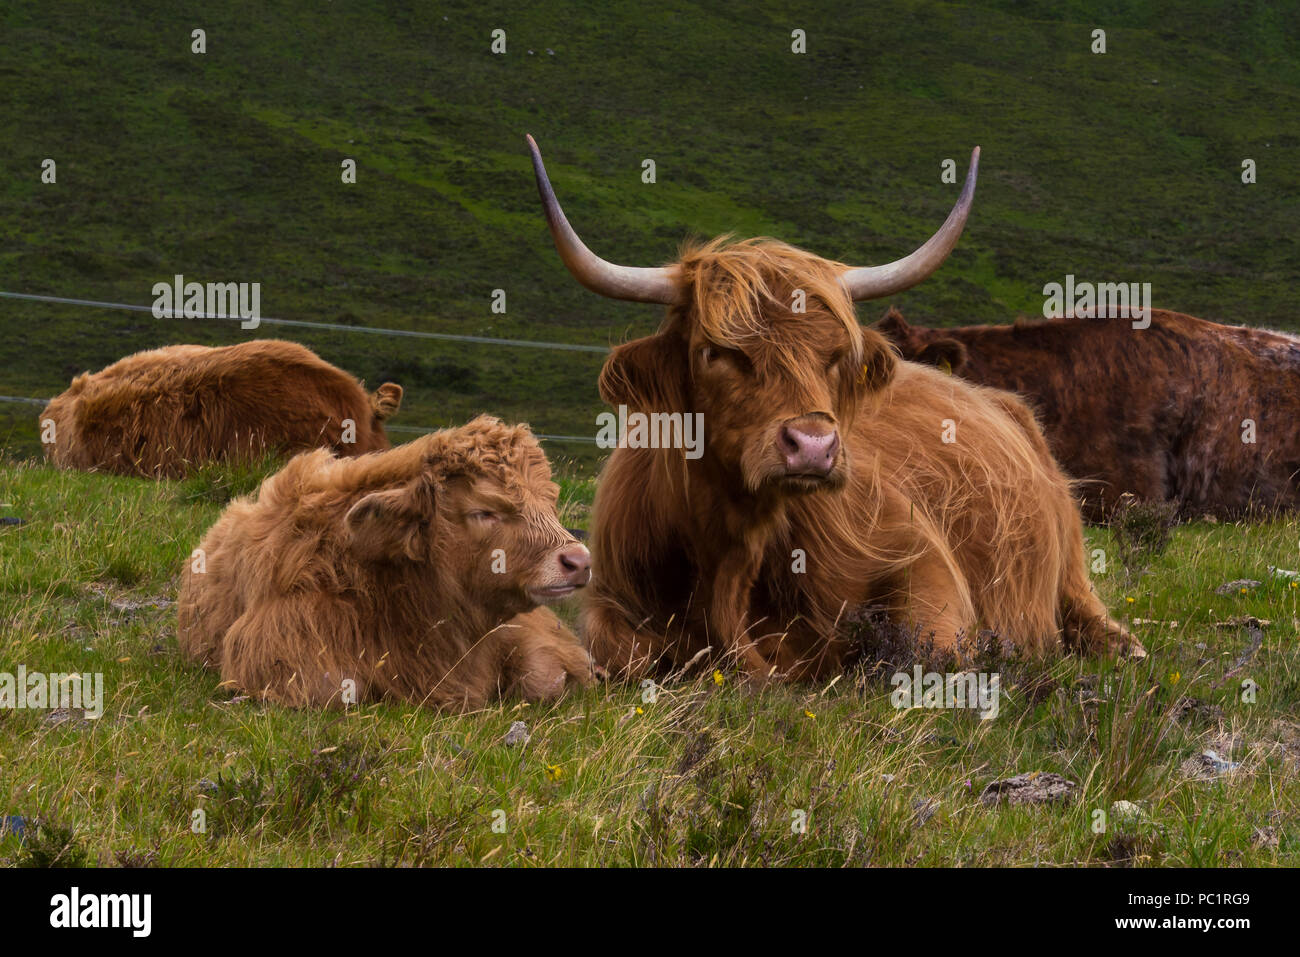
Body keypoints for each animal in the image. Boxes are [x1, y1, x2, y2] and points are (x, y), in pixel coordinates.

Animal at [525, 135, 1142, 681]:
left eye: (836, 355)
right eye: (715, 351)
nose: (813, 447)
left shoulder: (920, 556)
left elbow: (936, 654)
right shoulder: (610, 597)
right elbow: (621, 654)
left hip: (1070, 556)